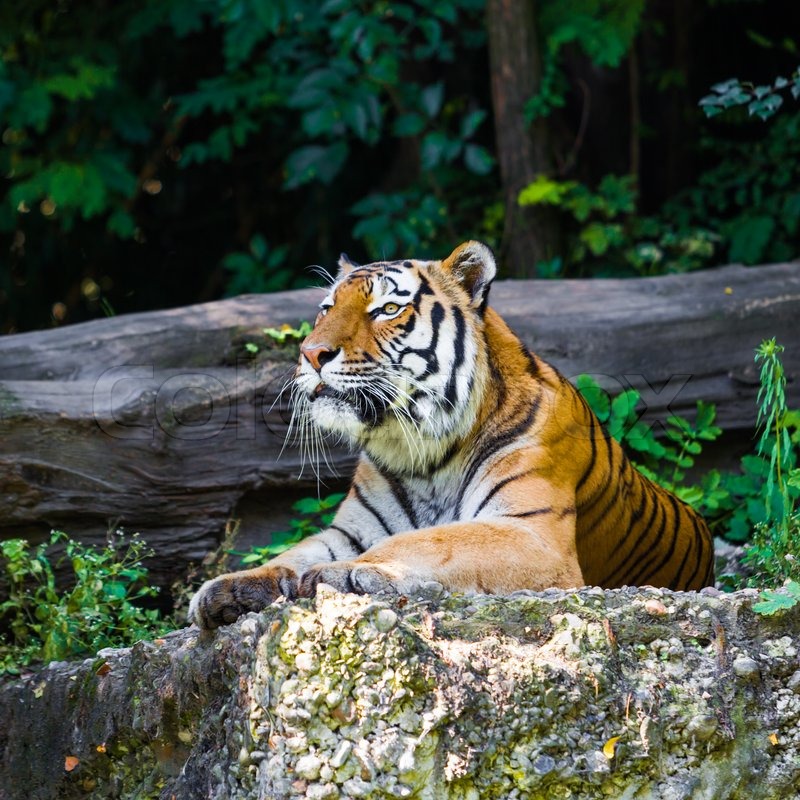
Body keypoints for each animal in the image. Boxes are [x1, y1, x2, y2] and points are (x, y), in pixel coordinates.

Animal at [189, 240, 714, 629]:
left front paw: (342, 574)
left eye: (387, 308)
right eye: (326, 308)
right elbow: (295, 551)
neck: (423, 453)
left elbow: (428, 541)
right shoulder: (351, 530)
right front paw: (227, 587)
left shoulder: (532, 535)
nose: (311, 353)